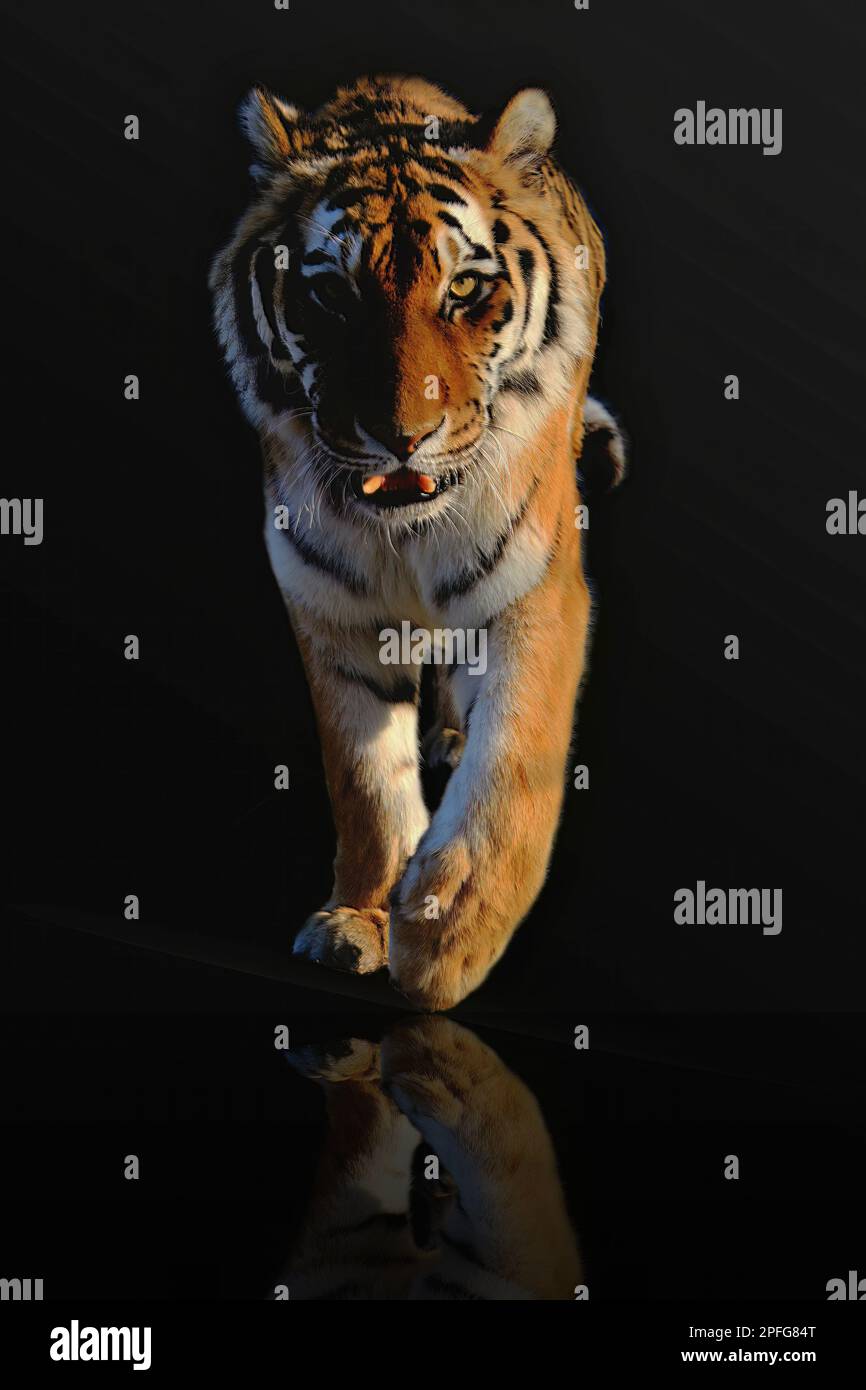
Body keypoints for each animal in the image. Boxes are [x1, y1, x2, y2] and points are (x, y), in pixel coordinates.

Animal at [209, 75, 625, 1011]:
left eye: (465, 288)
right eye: (332, 293)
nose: (403, 436)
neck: (403, 532)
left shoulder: (535, 590)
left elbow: (516, 762)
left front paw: (447, 933)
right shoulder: (327, 603)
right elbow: (364, 780)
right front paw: (358, 919)